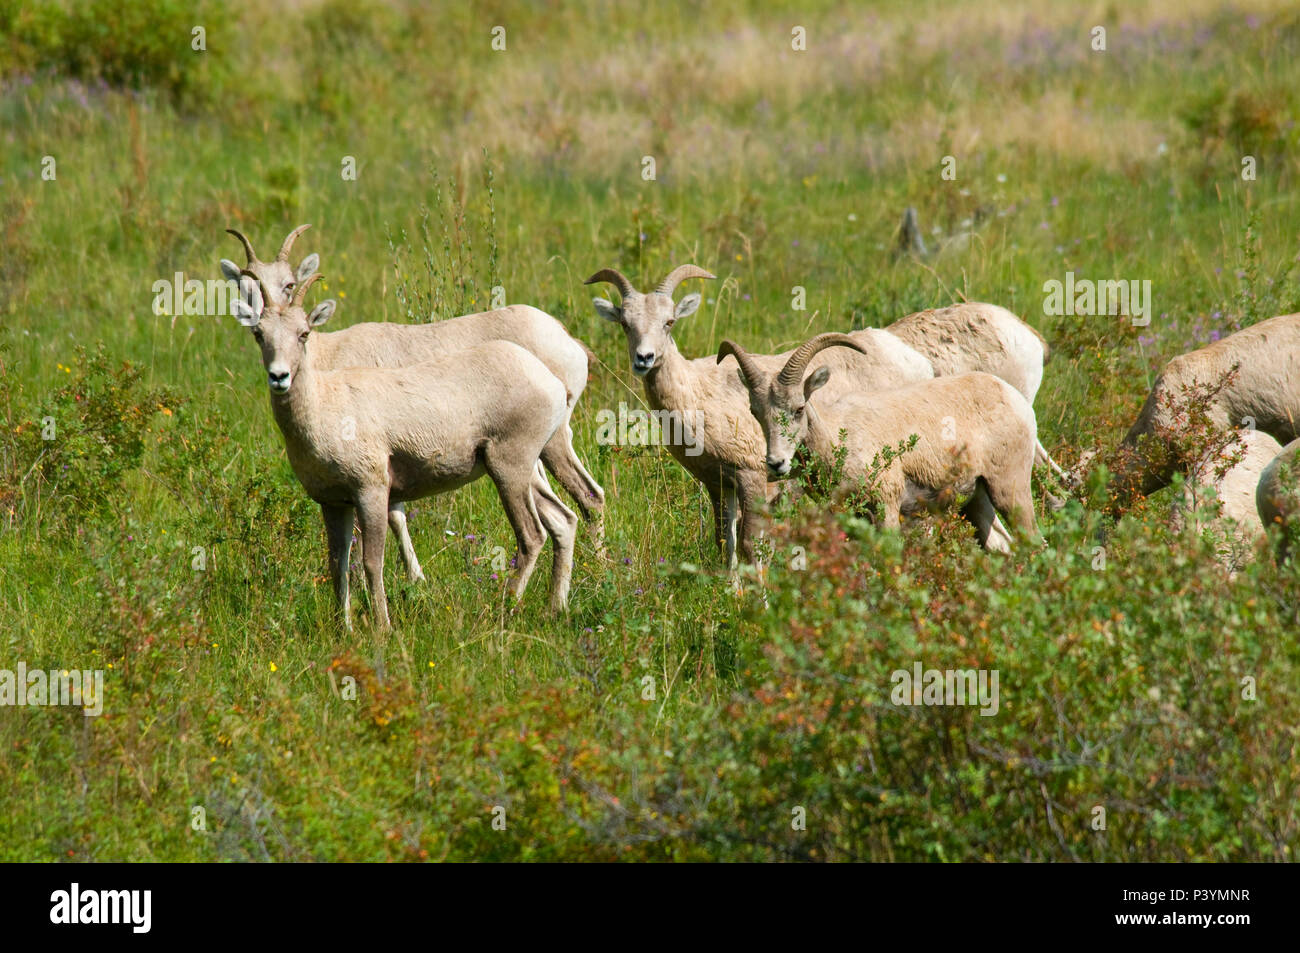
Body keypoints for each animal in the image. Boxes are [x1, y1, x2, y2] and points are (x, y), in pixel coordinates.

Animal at [221, 225, 605, 582]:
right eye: (244, 287)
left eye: (288, 285)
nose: (278, 373)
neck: (323, 357)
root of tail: (567, 340)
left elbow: (389, 519)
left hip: (545, 445)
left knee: (585, 498)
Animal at [232, 270, 577, 630]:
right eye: (259, 334)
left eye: (304, 333)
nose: (279, 376)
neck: (323, 406)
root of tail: (551, 381)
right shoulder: (334, 503)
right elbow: (338, 566)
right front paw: (346, 629)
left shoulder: (370, 492)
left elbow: (372, 562)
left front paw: (382, 628)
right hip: (527, 473)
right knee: (563, 521)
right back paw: (555, 608)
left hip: (510, 470)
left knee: (532, 536)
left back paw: (505, 610)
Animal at [586, 264, 935, 567]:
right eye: (625, 323)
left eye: (669, 321)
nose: (644, 358)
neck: (697, 395)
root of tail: (914, 359)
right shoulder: (718, 483)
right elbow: (725, 541)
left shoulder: (751, 475)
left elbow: (751, 544)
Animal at [717, 333, 1040, 549]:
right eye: (756, 412)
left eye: (798, 408)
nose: (776, 464)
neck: (840, 440)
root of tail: (1014, 398)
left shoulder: (887, 508)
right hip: (976, 499)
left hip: (1009, 490)